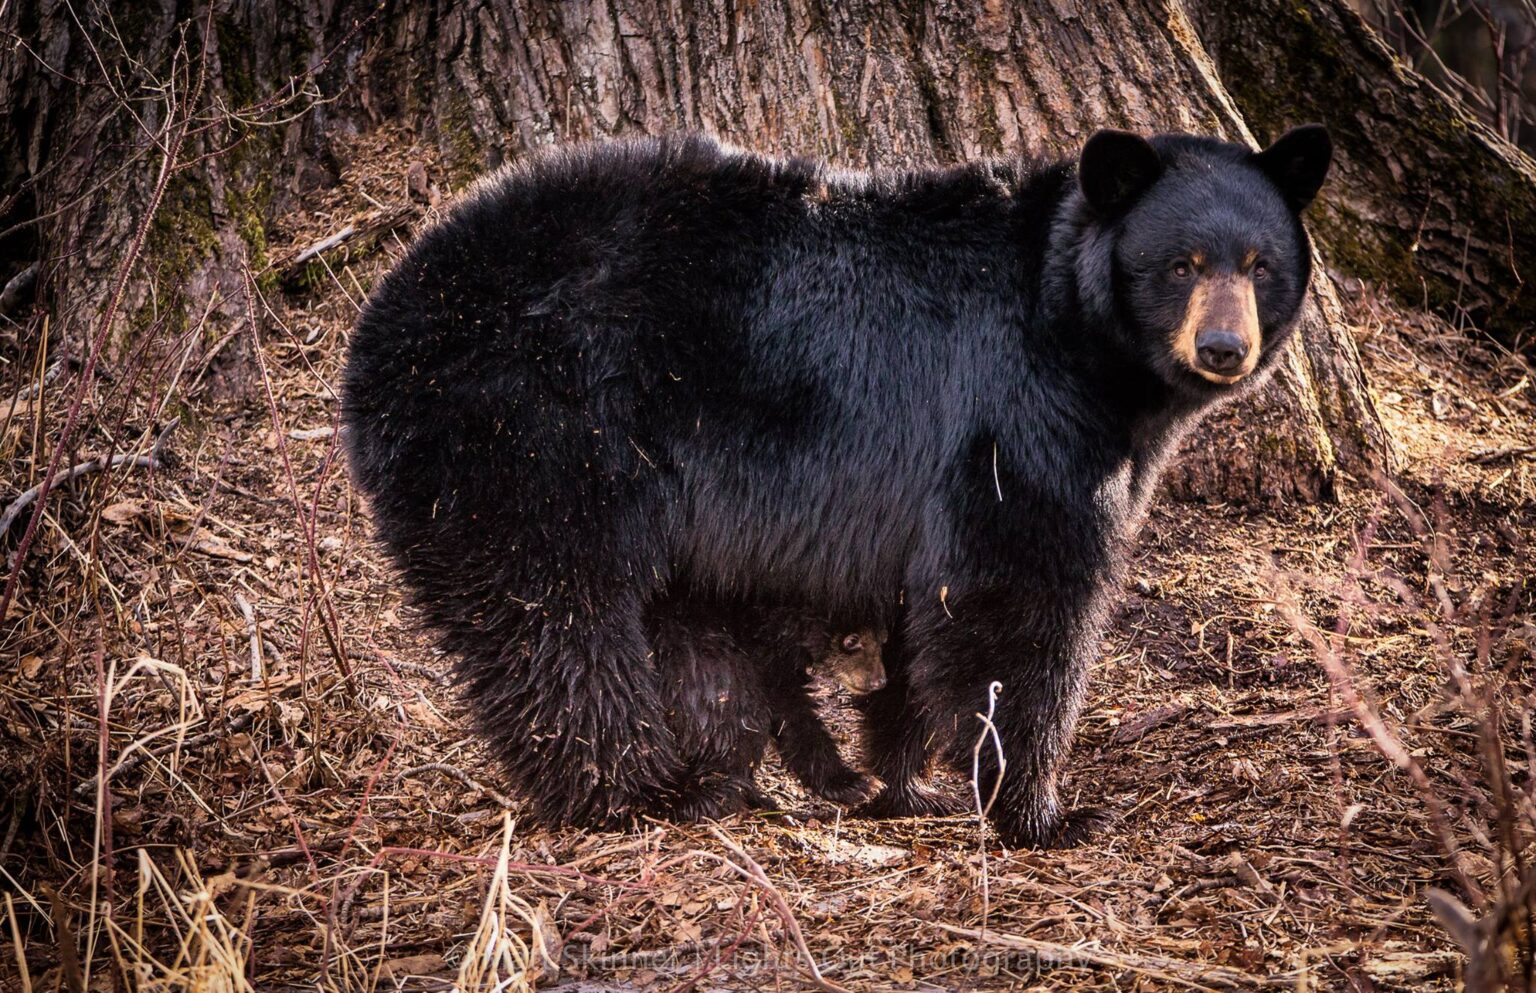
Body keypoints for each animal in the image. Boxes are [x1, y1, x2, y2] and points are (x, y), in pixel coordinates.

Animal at [648, 600, 886, 815]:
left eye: (883, 638)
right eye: (852, 640)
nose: (879, 681)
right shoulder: (759, 652)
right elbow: (790, 708)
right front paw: (860, 784)